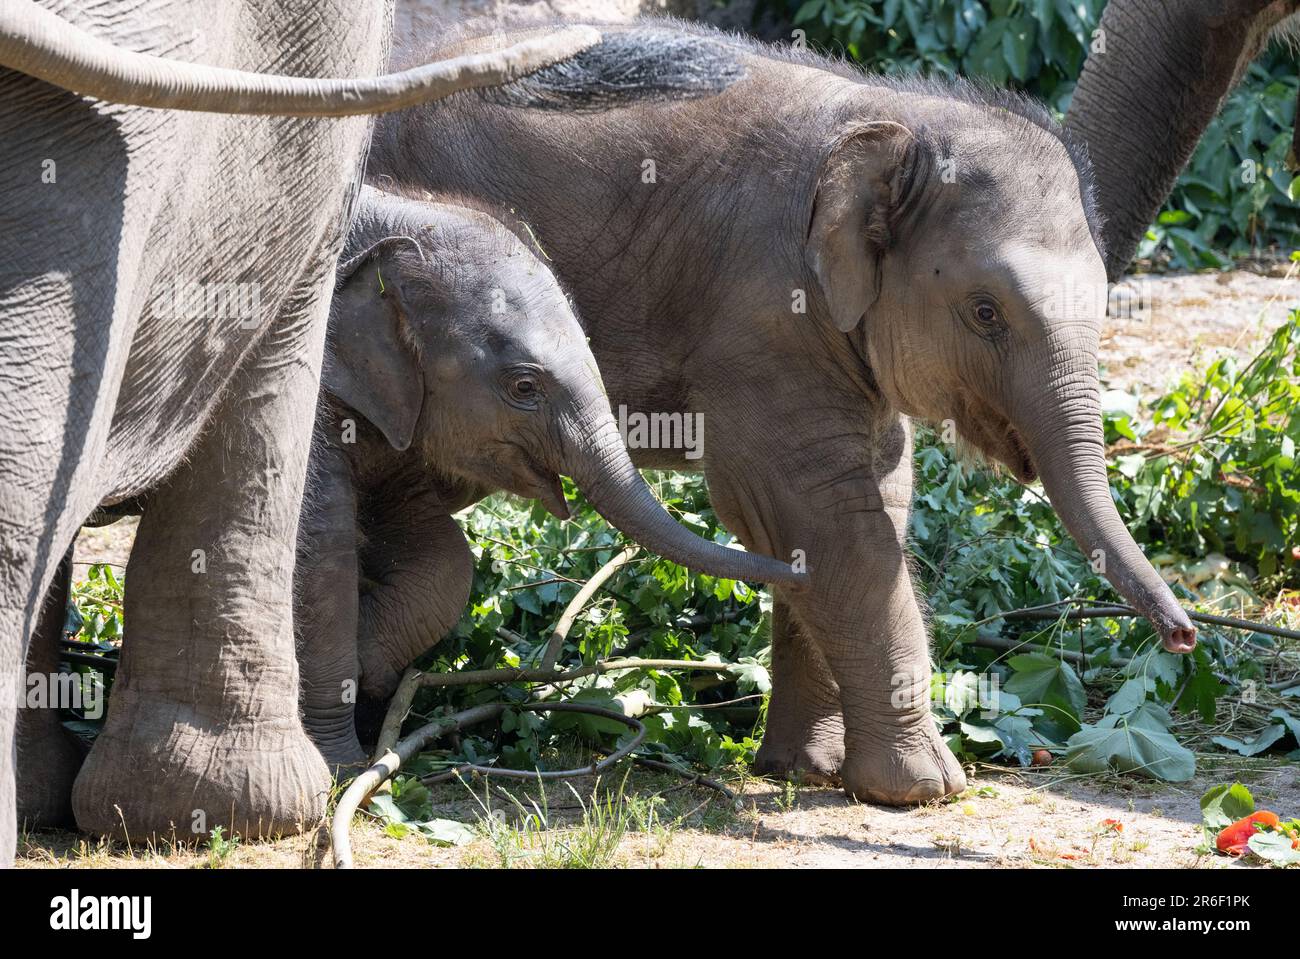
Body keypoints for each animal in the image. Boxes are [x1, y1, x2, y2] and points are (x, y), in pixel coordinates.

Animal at [297, 185, 806, 769]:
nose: (801, 567)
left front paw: (375, 674)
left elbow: (440, 554)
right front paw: (340, 765)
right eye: (524, 386)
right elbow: (318, 549)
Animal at [365, 20, 1198, 805]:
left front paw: (810, 771)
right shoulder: (762, 315)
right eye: (986, 312)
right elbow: (823, 512)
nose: (1185, 635)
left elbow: (877, 495)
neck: (893, 116)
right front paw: (924, 789)